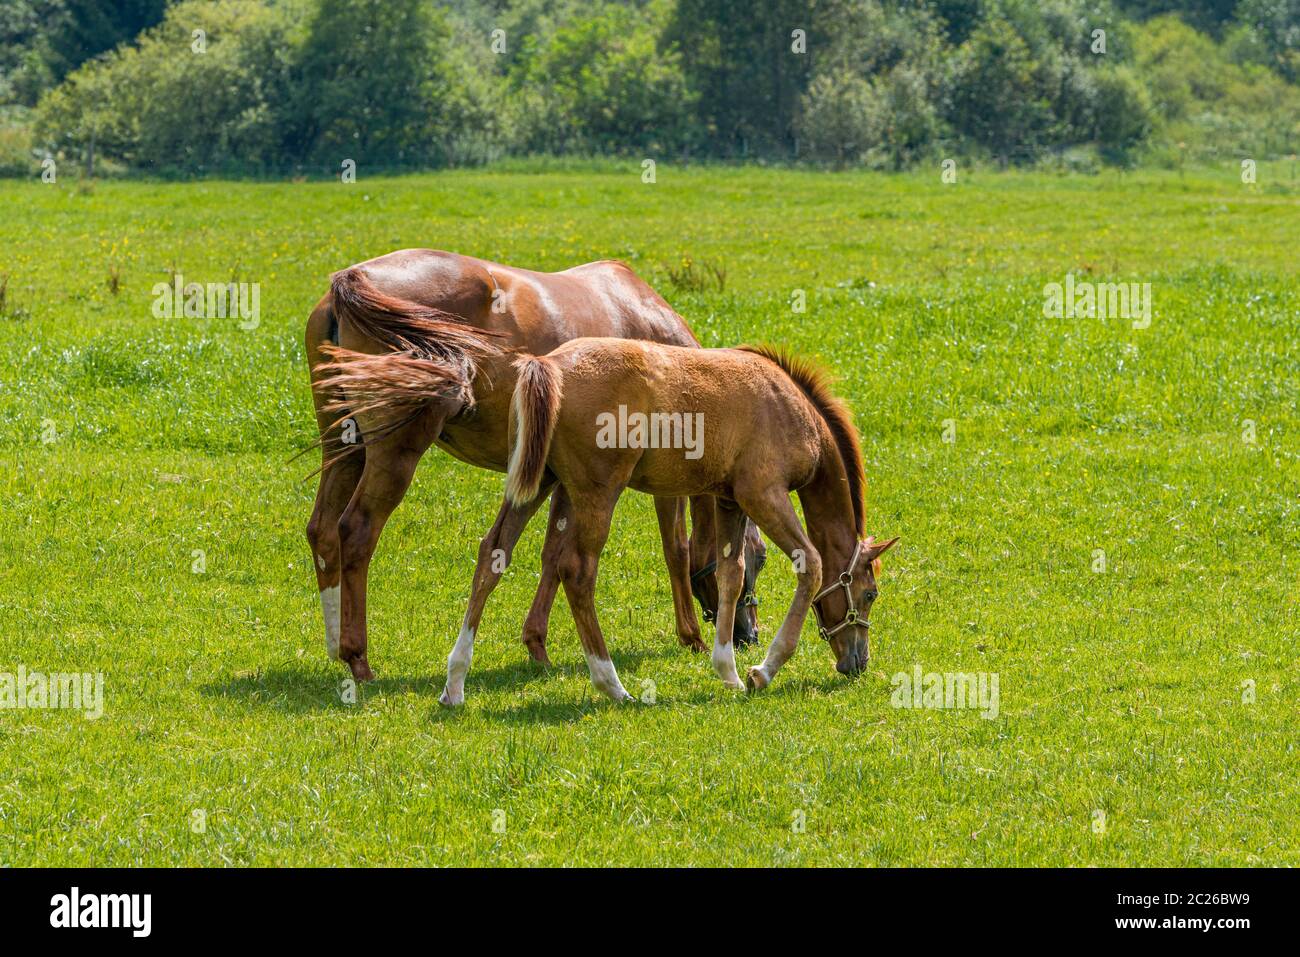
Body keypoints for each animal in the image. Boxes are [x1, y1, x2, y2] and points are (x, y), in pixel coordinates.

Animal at [304, 250, 766, 684]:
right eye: (759, 559)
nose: (750, 635)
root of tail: (353, 280)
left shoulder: (562, 479)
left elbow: (552, 554)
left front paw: (536, 643)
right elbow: (674, 549)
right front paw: (691, 636)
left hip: (344, 446)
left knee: (322, 530)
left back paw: (334, 644)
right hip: (394, 454)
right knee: (356, 531)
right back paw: (358, 657)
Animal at [497, 338, 898, 701]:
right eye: (870, 594)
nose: (859, 662)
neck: (791, 407)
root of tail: (549, 365)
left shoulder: (730, 502)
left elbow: (731, 575)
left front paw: (728, 671)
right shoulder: (763, 495)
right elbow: (811, 565)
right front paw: (764, 670)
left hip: (546, 485)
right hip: (598, 495)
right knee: (578, 572)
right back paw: (612, 685)